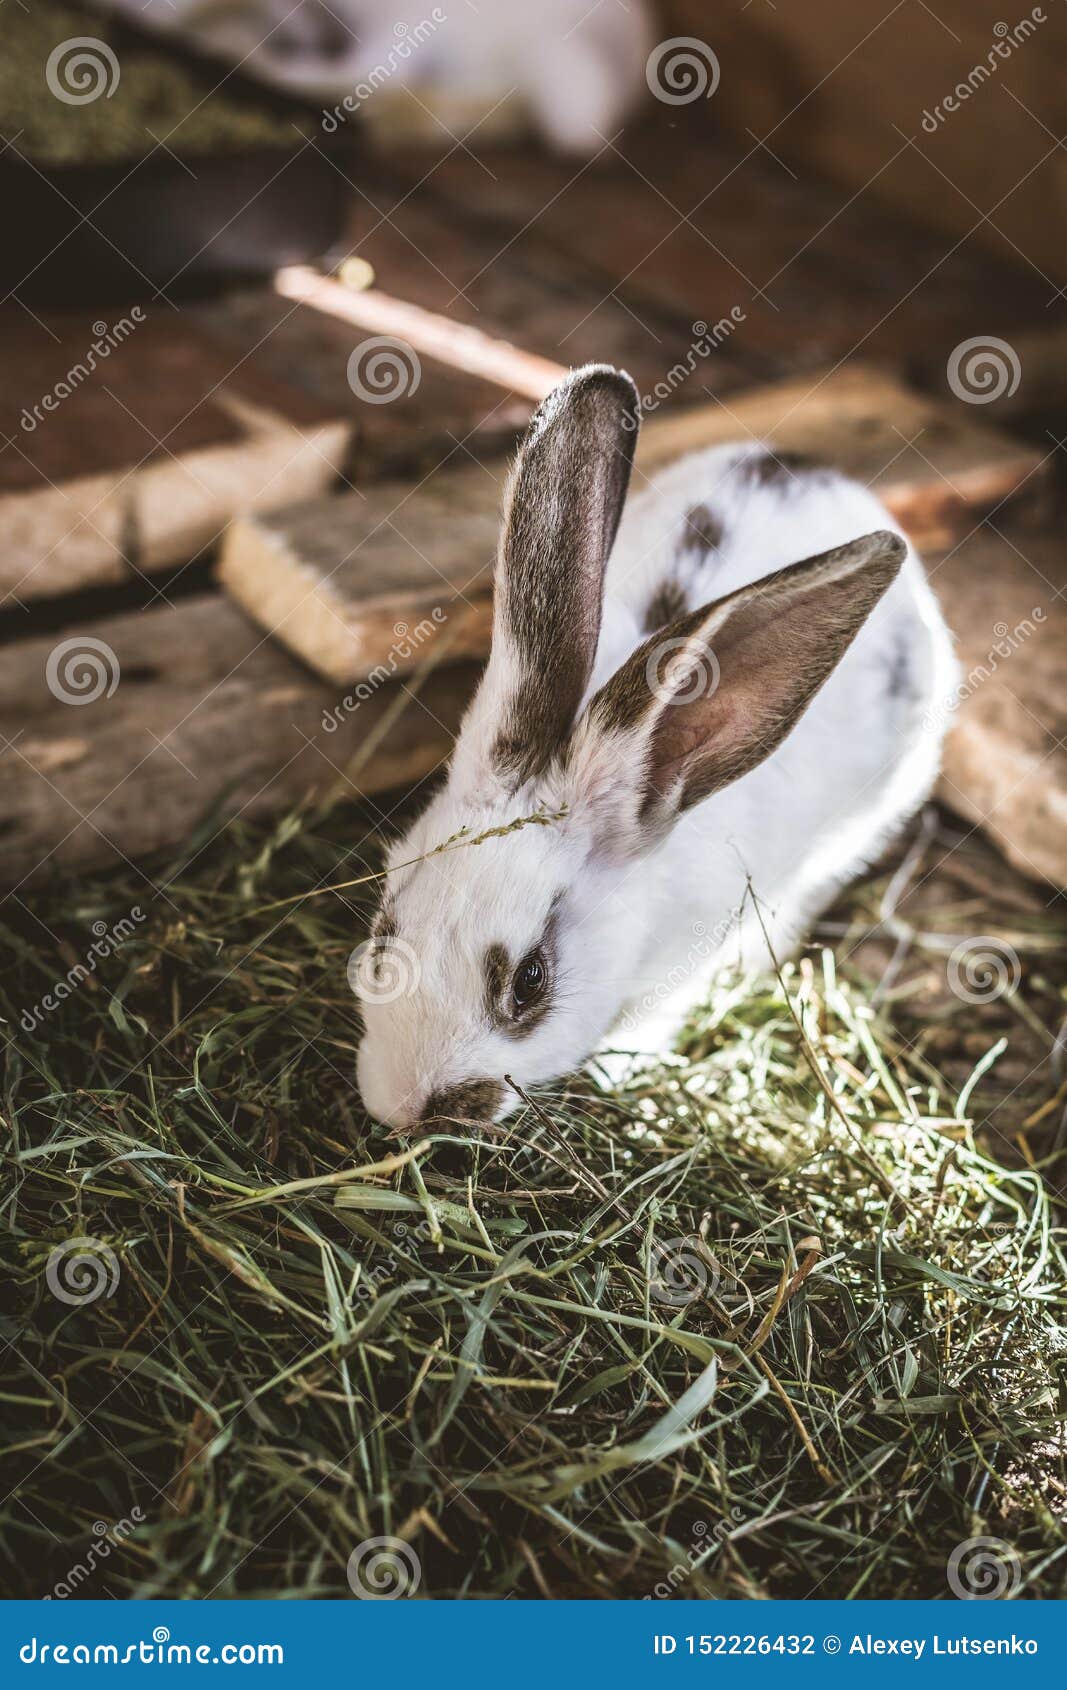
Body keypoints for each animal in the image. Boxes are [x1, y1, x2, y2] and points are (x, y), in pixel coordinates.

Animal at [355, 365, 957, 1129]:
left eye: (529, 983)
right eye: (384, 930)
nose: (404, 1107)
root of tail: (830, 477)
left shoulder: (686, 960)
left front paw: (618, 1069)